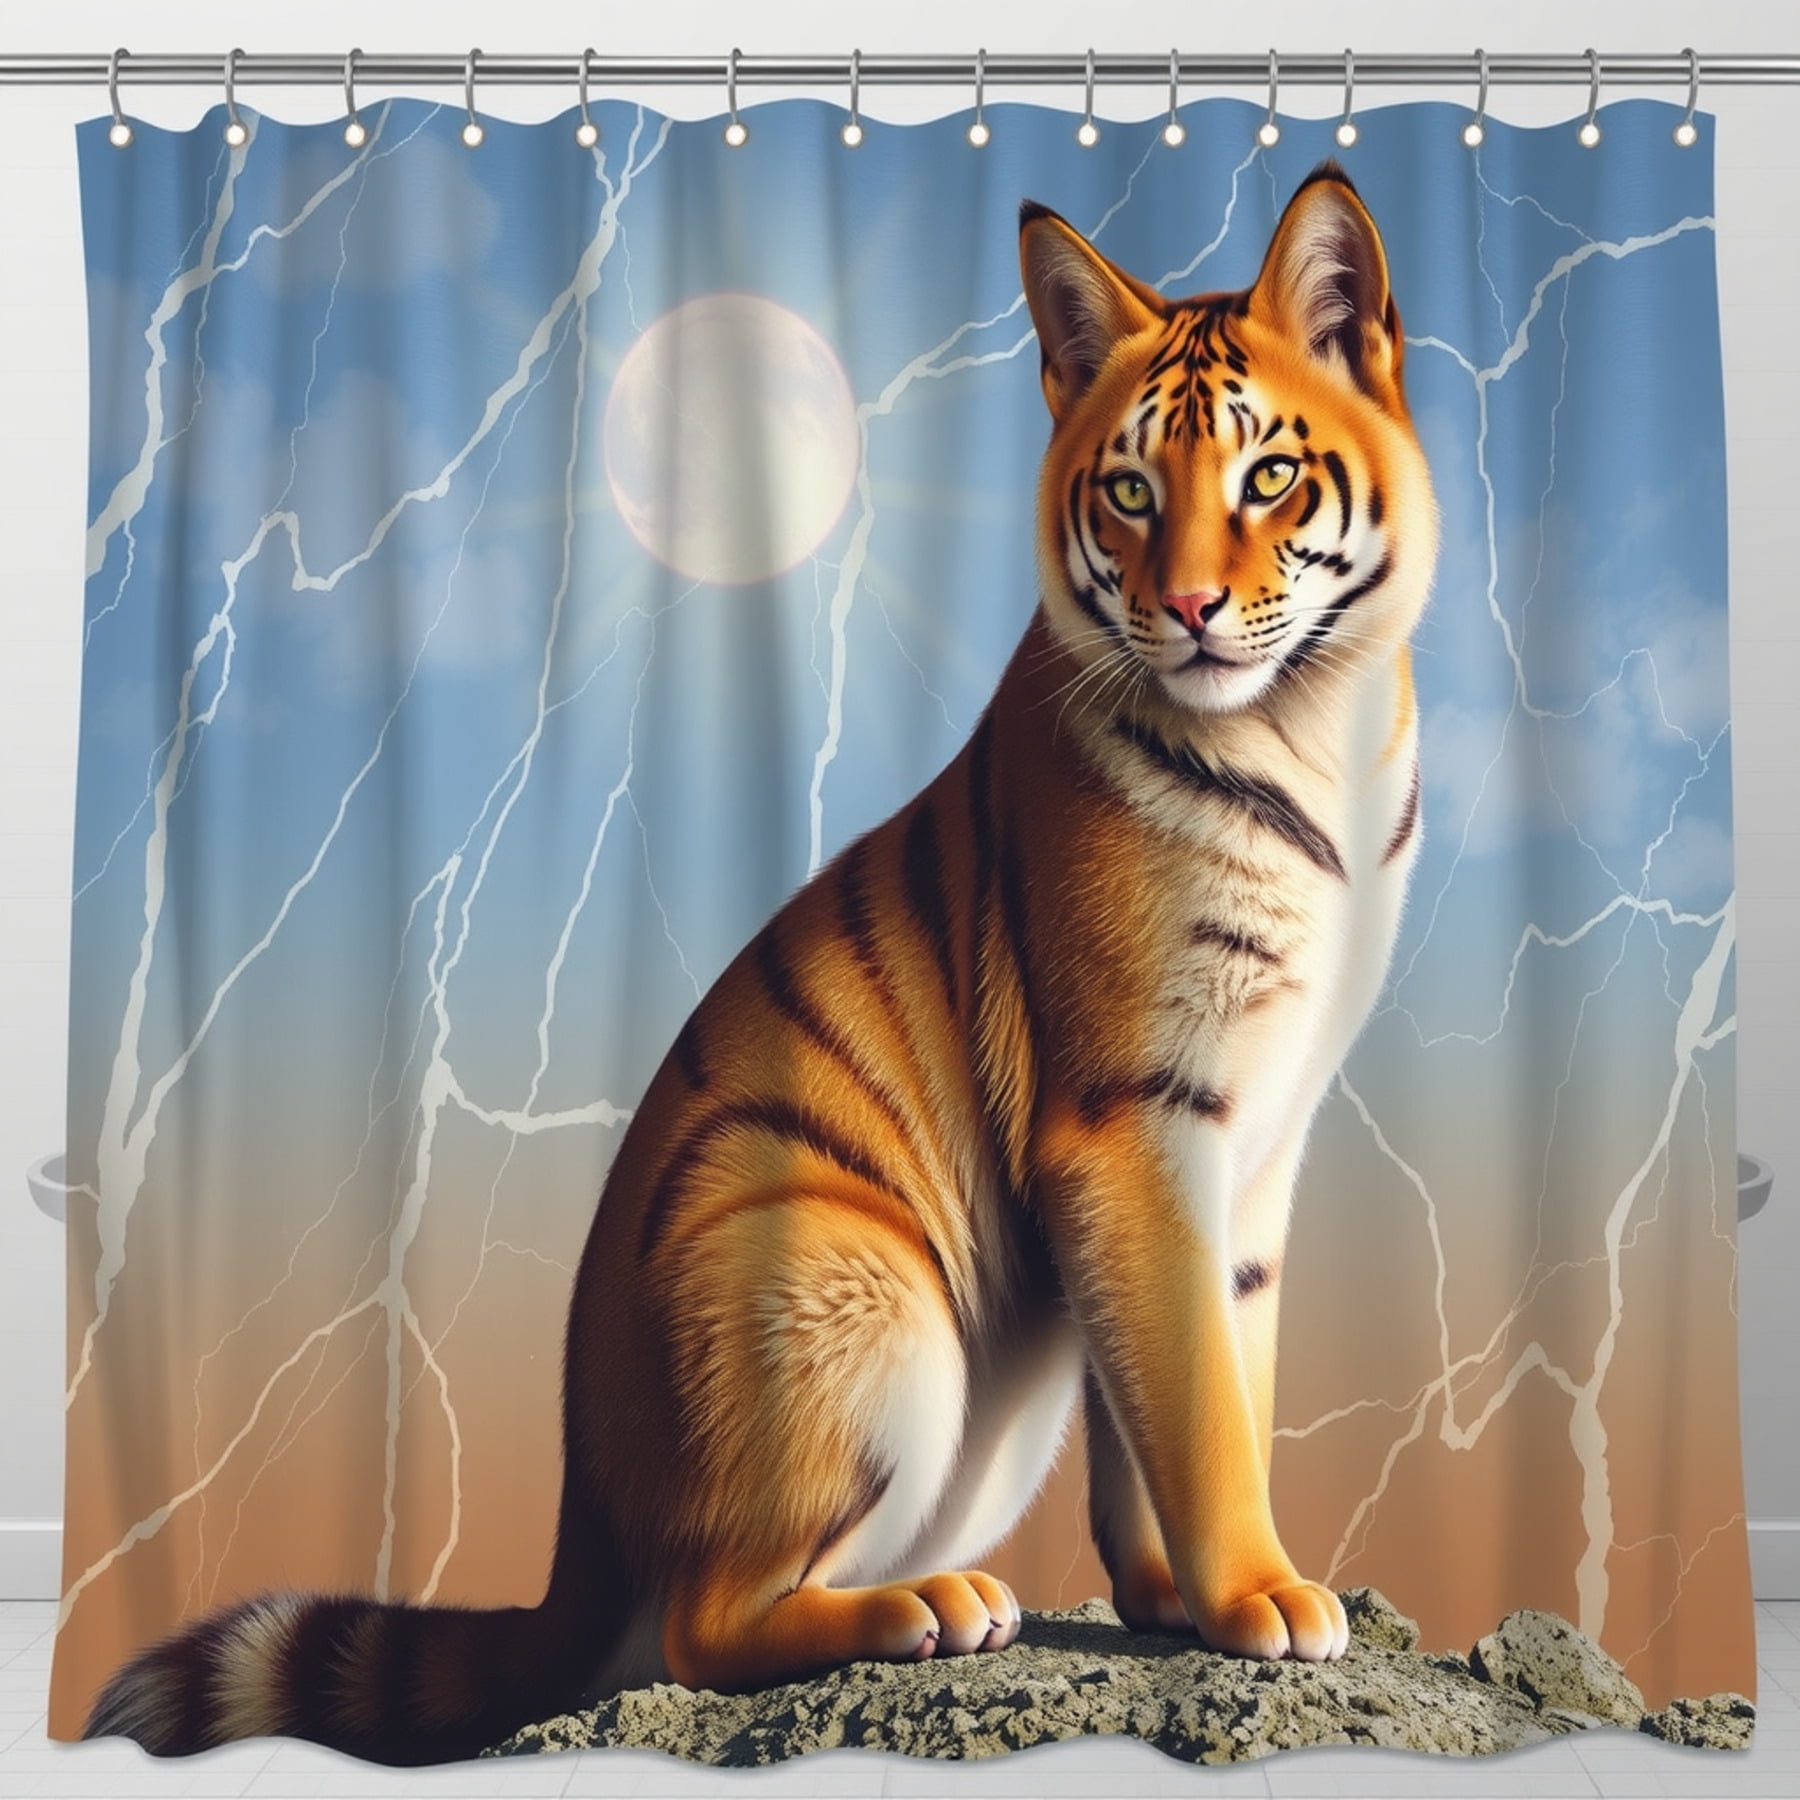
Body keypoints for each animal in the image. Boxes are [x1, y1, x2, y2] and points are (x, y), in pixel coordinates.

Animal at [85, 159, 1436, 1765]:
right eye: (1129, 492)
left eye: (1269, 478)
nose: (1184, 609)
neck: (1311, 729)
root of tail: (577, 1530)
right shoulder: (1130, 1120)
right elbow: (1194, 1397)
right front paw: (1260, 1599)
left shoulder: (1254, 1147)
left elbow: (1197, 1382)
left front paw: (1181, 1599)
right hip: (858, 1284)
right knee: (699, 1624)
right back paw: (927, 1610)